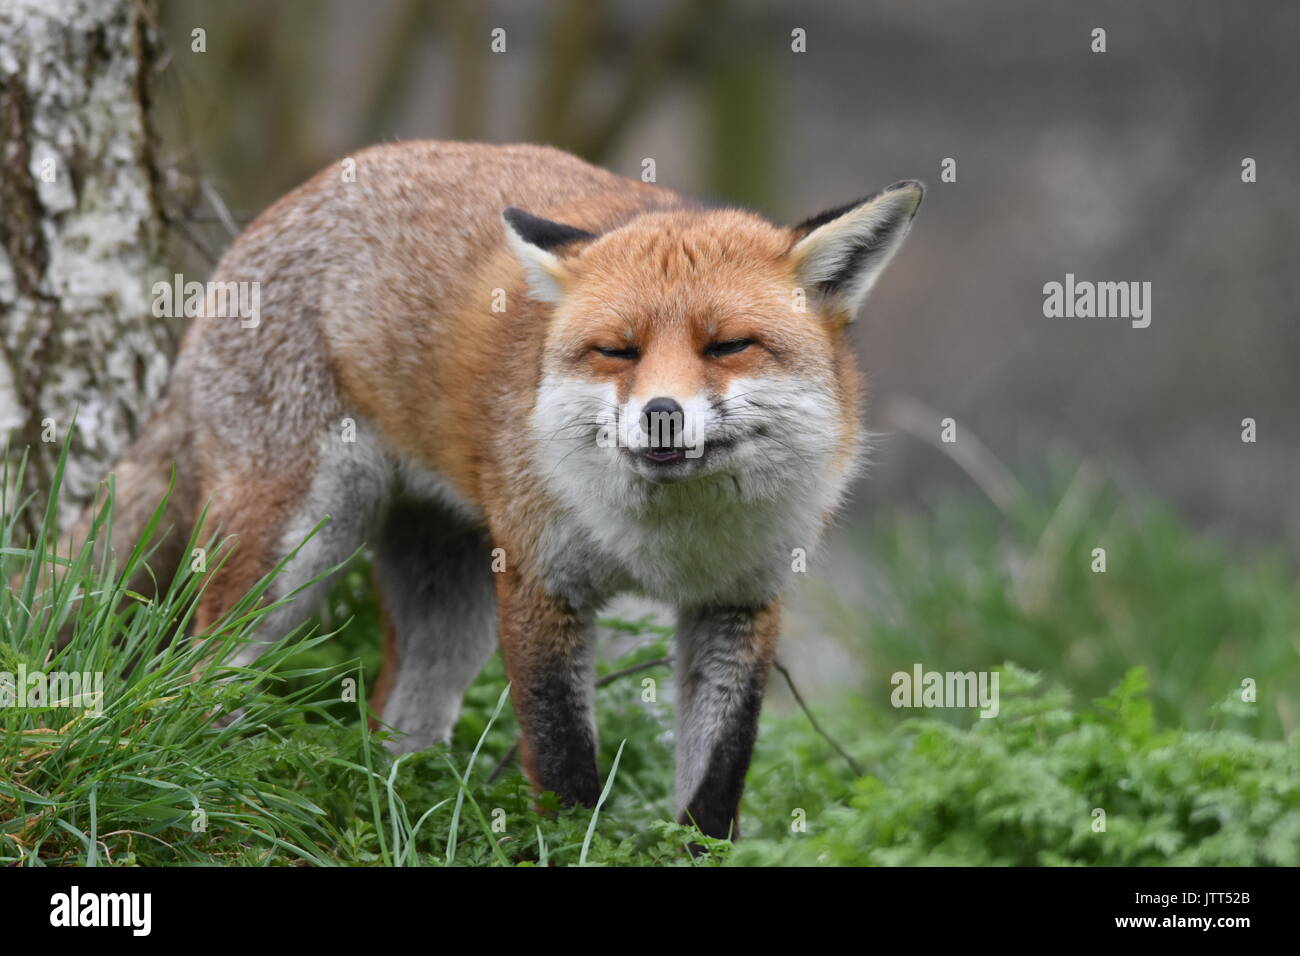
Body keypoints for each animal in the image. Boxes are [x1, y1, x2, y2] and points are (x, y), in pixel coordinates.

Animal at [55, 141, 923, 840]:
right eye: (617, 351)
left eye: (729, 346)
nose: (662, 415)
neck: (670, 542)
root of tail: (279, 209)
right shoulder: (544, 583)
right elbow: (565, 762)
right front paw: (574, 848)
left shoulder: (741, 601)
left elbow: (716, 779)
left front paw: (698, 853)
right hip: (294, 547)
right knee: (201, 675)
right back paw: (224, 790)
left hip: (452, 602)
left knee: (395, 723)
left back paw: (401, 809)